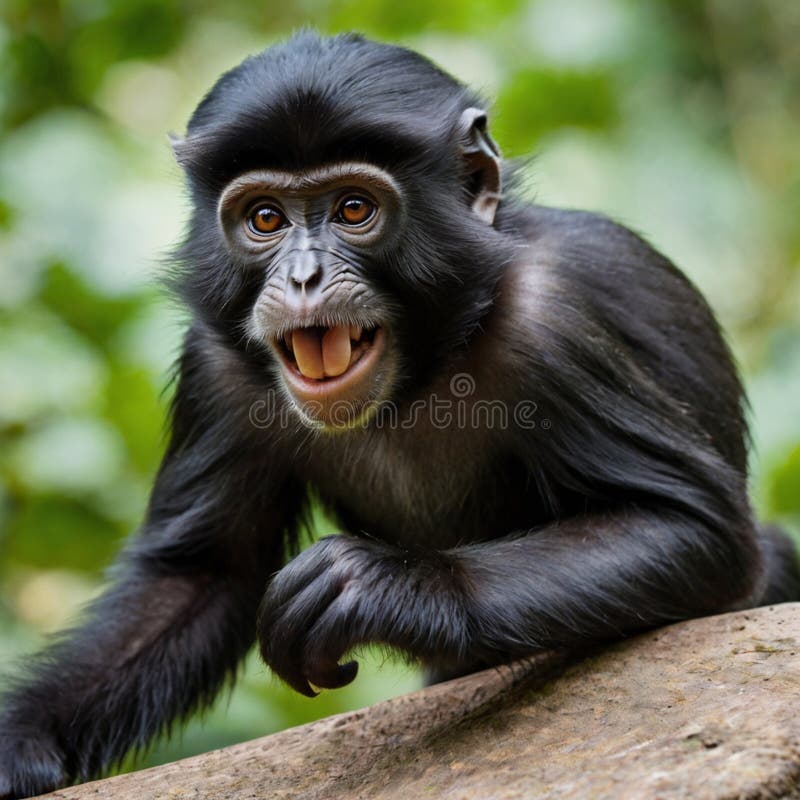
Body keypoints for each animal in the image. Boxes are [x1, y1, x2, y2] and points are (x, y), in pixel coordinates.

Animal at [1, 31, 798, 798]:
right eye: (265, 218)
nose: (303, 276)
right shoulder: (212, 365)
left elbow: (697, 530)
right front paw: (20, 743)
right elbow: (199, 575)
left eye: (354, 208)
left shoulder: (555, 322)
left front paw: (381, 587)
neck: (419, 370)